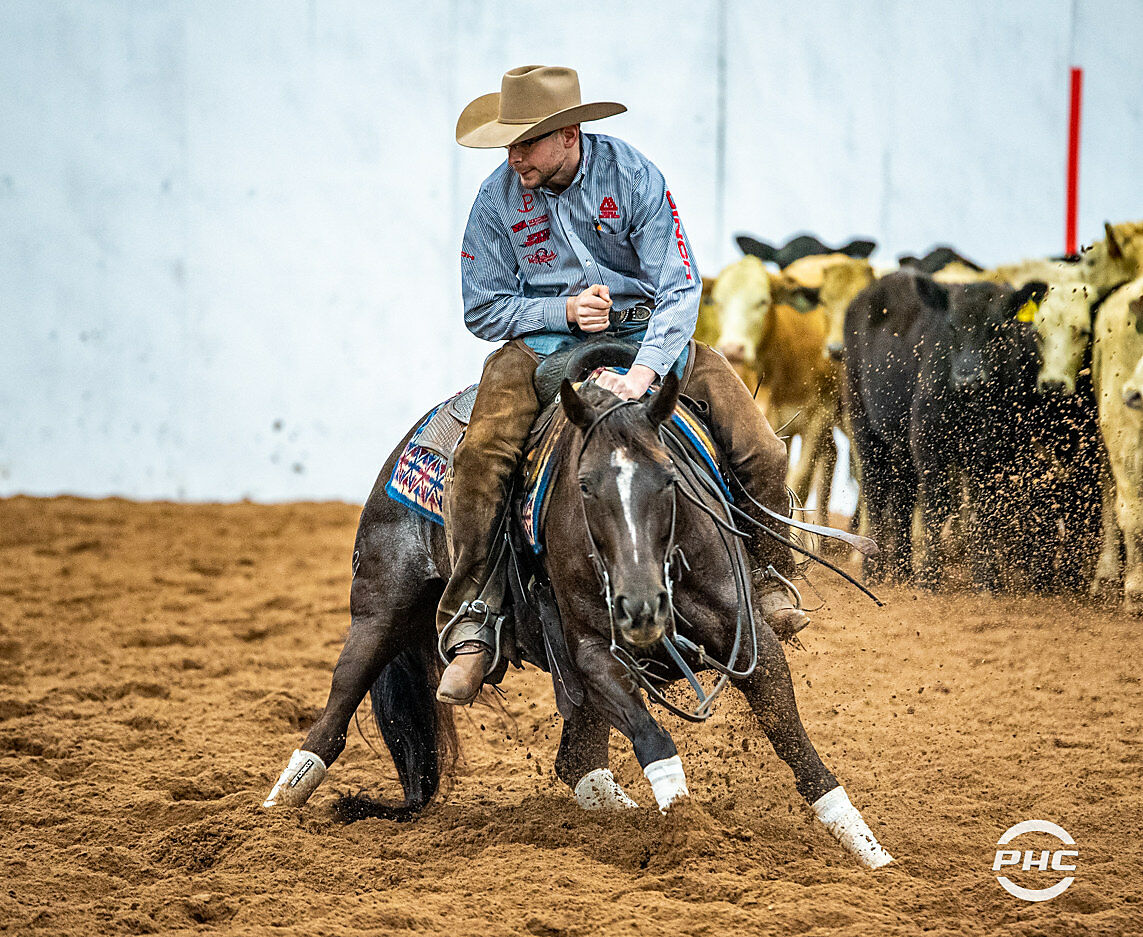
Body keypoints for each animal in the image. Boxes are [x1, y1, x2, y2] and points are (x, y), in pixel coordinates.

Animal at [263, 343, 893, 869]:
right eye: (584, 485)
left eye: (669, 479)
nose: (640, 607)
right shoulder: (591, 651)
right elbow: (654, 741)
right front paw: (689, 833)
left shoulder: (747, 637)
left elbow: (795, 743)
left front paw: (870, 852)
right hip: (380, 609)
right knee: (335, 713)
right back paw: (273, 811)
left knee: (579, 764)